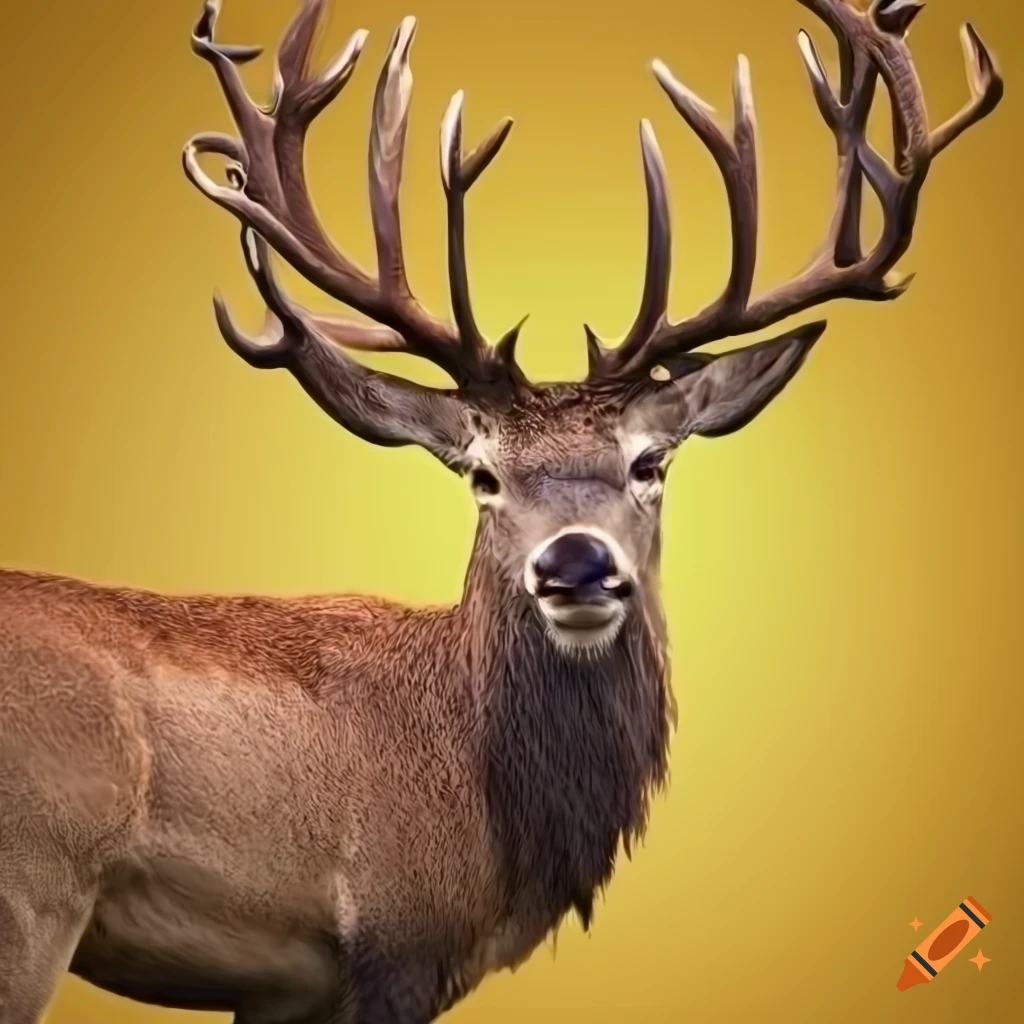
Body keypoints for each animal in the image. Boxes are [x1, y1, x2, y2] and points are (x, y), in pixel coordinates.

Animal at [0, 0, 1003, 1021]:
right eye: (481, 475)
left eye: (651, 463)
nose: (575, 565)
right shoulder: (398, 934)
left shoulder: (286, 988)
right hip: (32, 887)